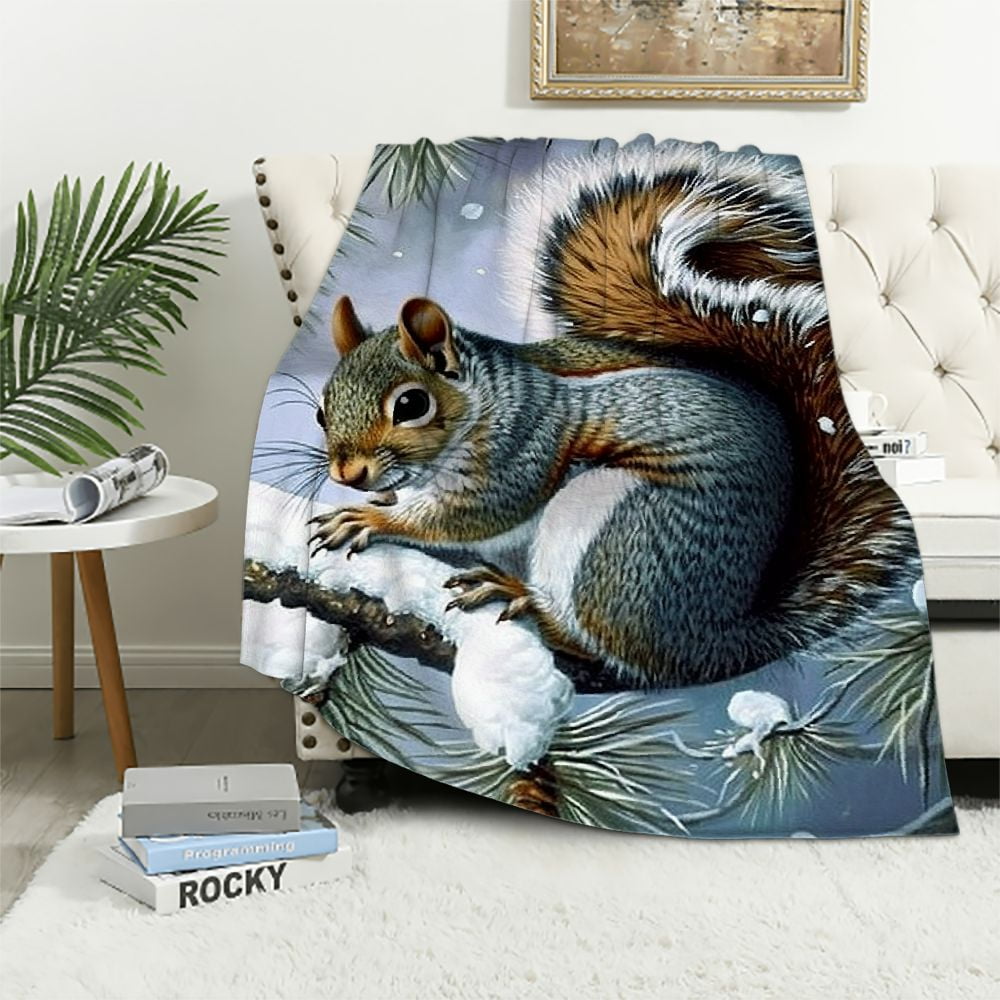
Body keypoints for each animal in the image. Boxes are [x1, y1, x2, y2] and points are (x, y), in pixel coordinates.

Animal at [310, 147, 914, 688]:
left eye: (412, 405)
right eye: (320, 409)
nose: (347, 474)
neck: (485, 402)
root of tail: (723, 641)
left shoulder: (522, 447)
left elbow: (472, 514)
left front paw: (373, 518)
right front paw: (379, 501)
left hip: (623, 538)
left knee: (613, 646)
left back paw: (524, 599)